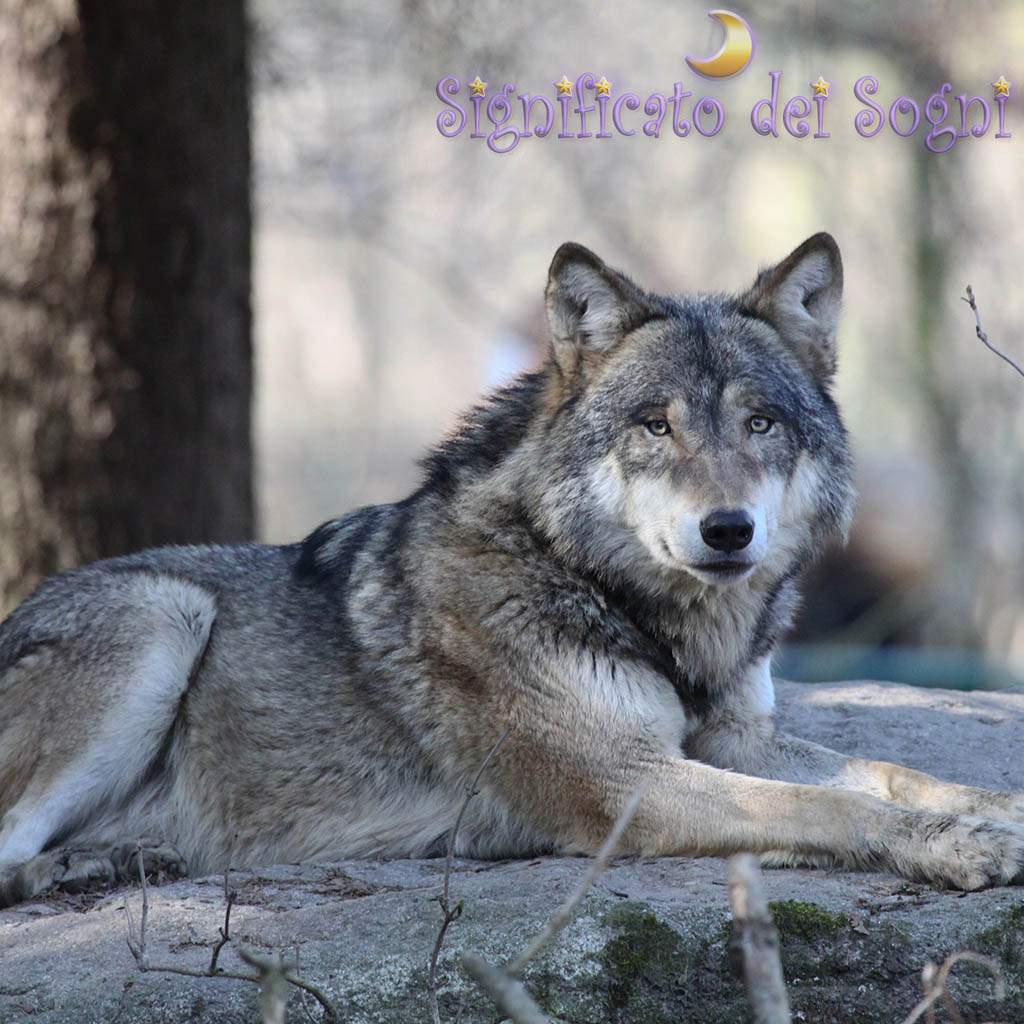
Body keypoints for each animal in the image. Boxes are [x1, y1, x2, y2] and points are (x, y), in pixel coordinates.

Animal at [2, 232, 1023, 907]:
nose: (728, 531)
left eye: (760, 423)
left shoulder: (735, 740)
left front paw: (996, 809)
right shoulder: (627, 786)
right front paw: (949, 846)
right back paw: (80, 867)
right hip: (162, 613)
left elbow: (888, 772)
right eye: (656, 425)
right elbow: (831, 810)